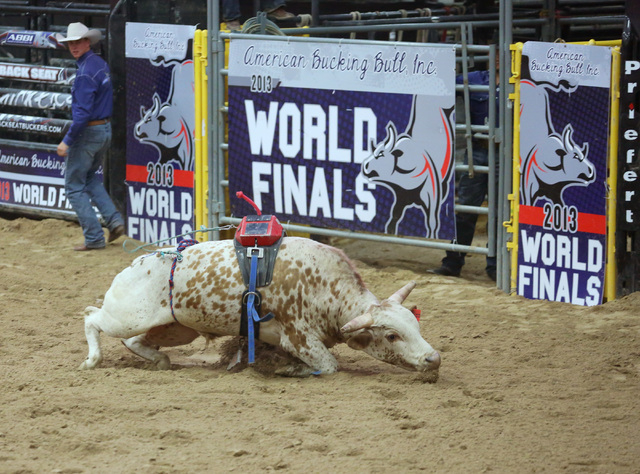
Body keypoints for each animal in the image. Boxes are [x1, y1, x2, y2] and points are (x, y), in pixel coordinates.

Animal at [79, 237, 441, 378]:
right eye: (392, 335)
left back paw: (160, 361)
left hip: (176, 328)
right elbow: (329, 365)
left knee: (135, 341)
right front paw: (289, 370)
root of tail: (135, 264)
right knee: (91, 316)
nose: (433, 358)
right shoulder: (299, 337)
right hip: (127, 316)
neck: (329, 291)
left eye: (416, 325)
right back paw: (92, 359)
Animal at [361, 94, 455, 239]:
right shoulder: (401, 198)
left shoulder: (432, 199)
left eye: (381, 154)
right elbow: (394, 218)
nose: (365, 166)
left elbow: (432, 223)